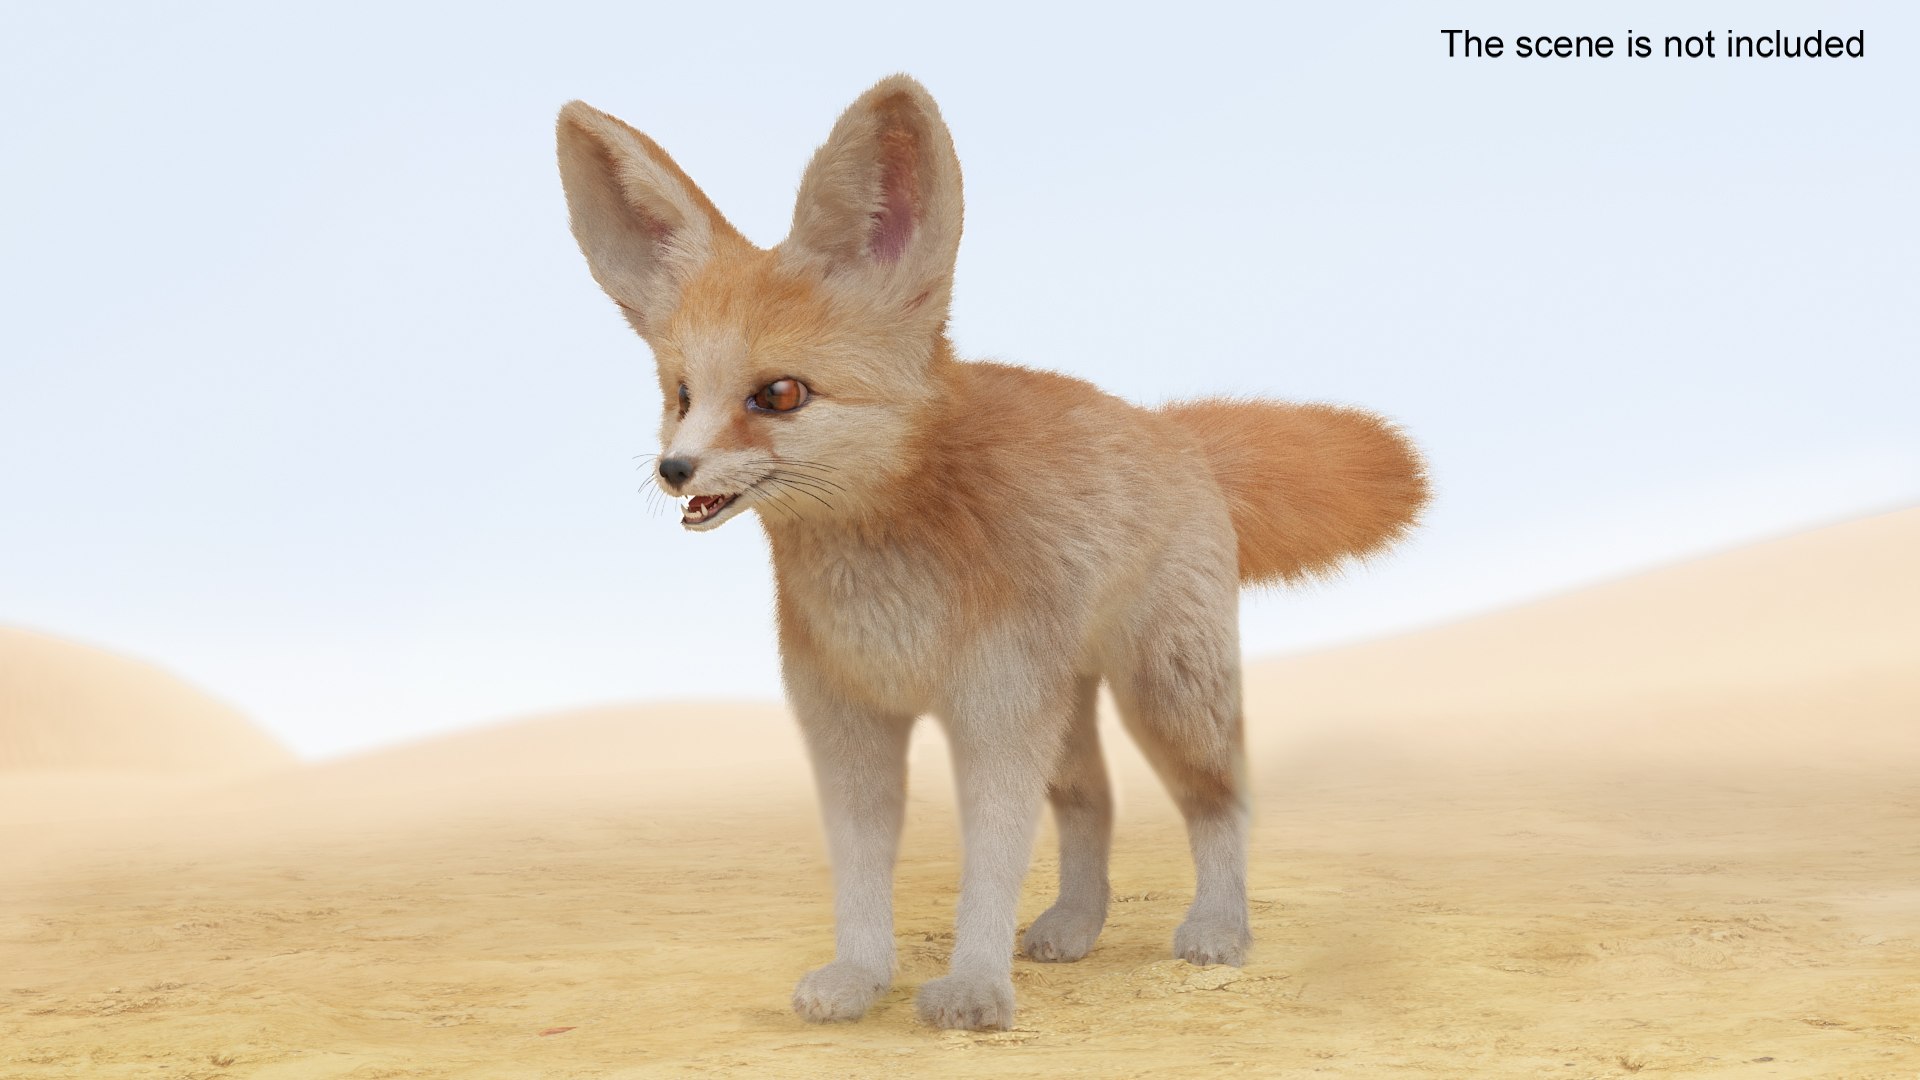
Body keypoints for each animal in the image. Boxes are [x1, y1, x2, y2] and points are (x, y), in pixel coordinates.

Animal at [555, 74, 1427, 1031]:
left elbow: (990, 867)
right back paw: (1075, 924)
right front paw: (859, 976)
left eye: (778, 395)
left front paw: (973, 989)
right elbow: (861, 874)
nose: (675, 470)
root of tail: (1172, 430)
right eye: (680, 395)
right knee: (1095, 803)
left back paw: (1219, 931)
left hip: (1163, 694)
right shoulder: (847, 724)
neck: (887, 606)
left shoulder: (995, 720)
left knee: (1222, 798)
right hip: (1067, 708)